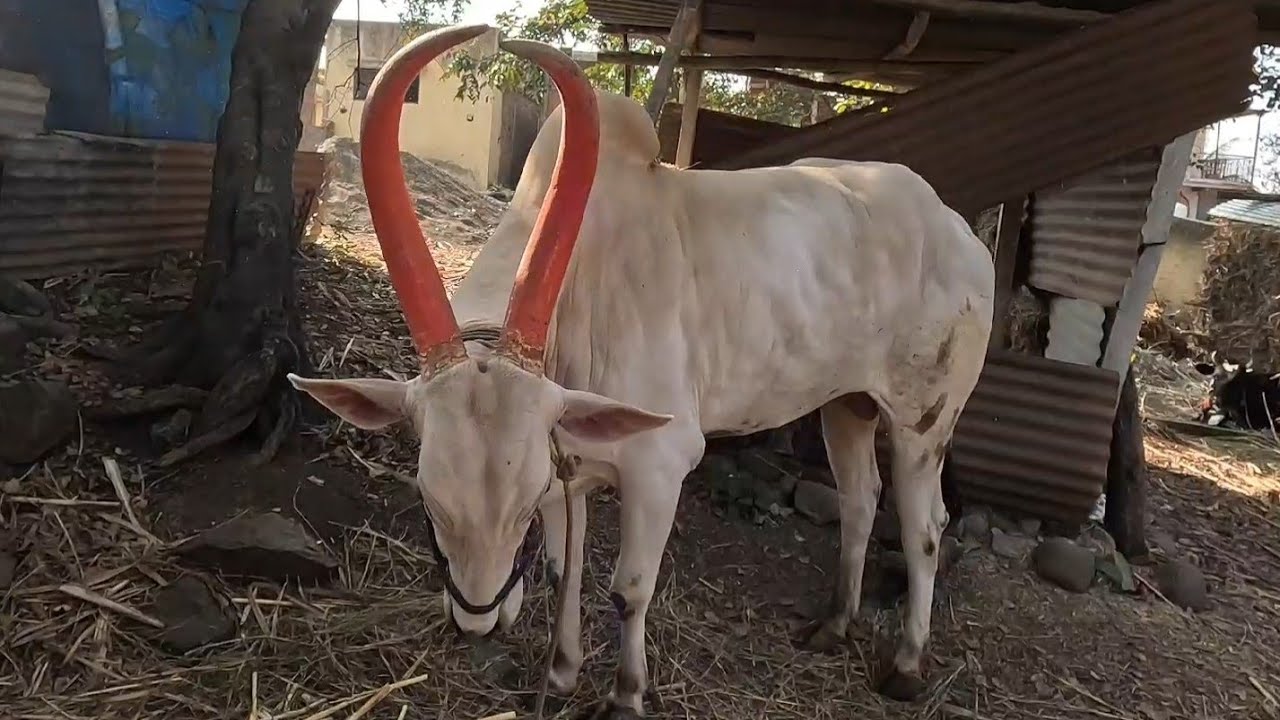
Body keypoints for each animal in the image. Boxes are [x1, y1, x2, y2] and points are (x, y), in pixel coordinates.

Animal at [287, 25, 995, 717]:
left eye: (521, 507)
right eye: (429, 499)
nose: (477, 623)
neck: (581, 287)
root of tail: (958, 229)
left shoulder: (659, 465)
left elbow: (628, 589)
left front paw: (626, 695)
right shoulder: (568, 470)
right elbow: (563, 573)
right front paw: (562, 672)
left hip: (924, 420)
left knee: (925, 526)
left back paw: (907, 664)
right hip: (846, 403)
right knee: (859, 499)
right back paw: (834, 624)